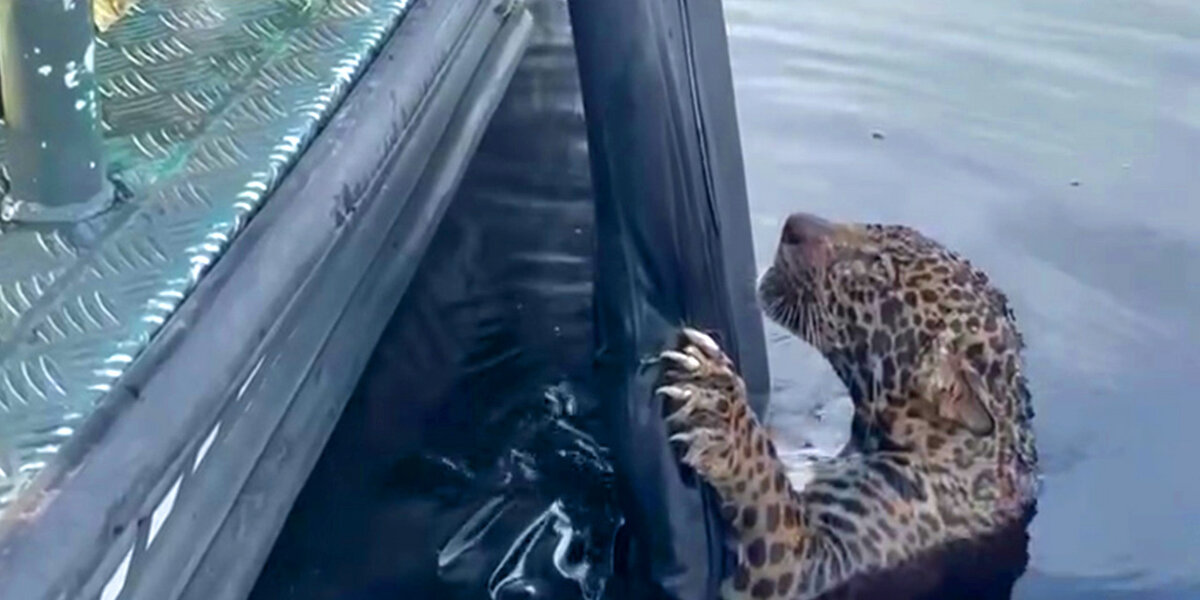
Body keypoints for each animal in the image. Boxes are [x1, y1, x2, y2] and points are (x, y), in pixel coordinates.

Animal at [655, 212, 1038, 599]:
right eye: (880, 229)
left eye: (878, 267)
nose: (793, 224)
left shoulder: (809, 566)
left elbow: (769, 485)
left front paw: (716, 401)